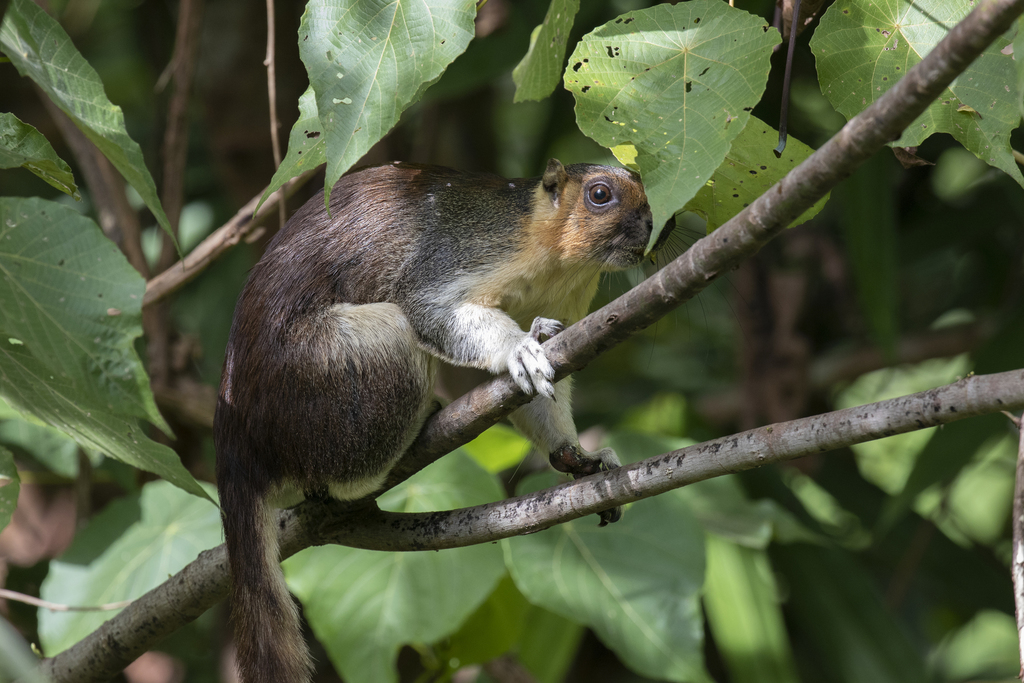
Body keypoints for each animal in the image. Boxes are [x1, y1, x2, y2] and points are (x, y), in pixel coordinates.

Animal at [214, 159, 661, 683]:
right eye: (599, 194)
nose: (652, 225)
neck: (554, 259)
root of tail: (238, 440)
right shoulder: (459, 253)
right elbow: (430, 310)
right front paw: (517, 348)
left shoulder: (560, 312)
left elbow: (539, 393)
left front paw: (578, 457)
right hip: (351, 360)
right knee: (345, 471)